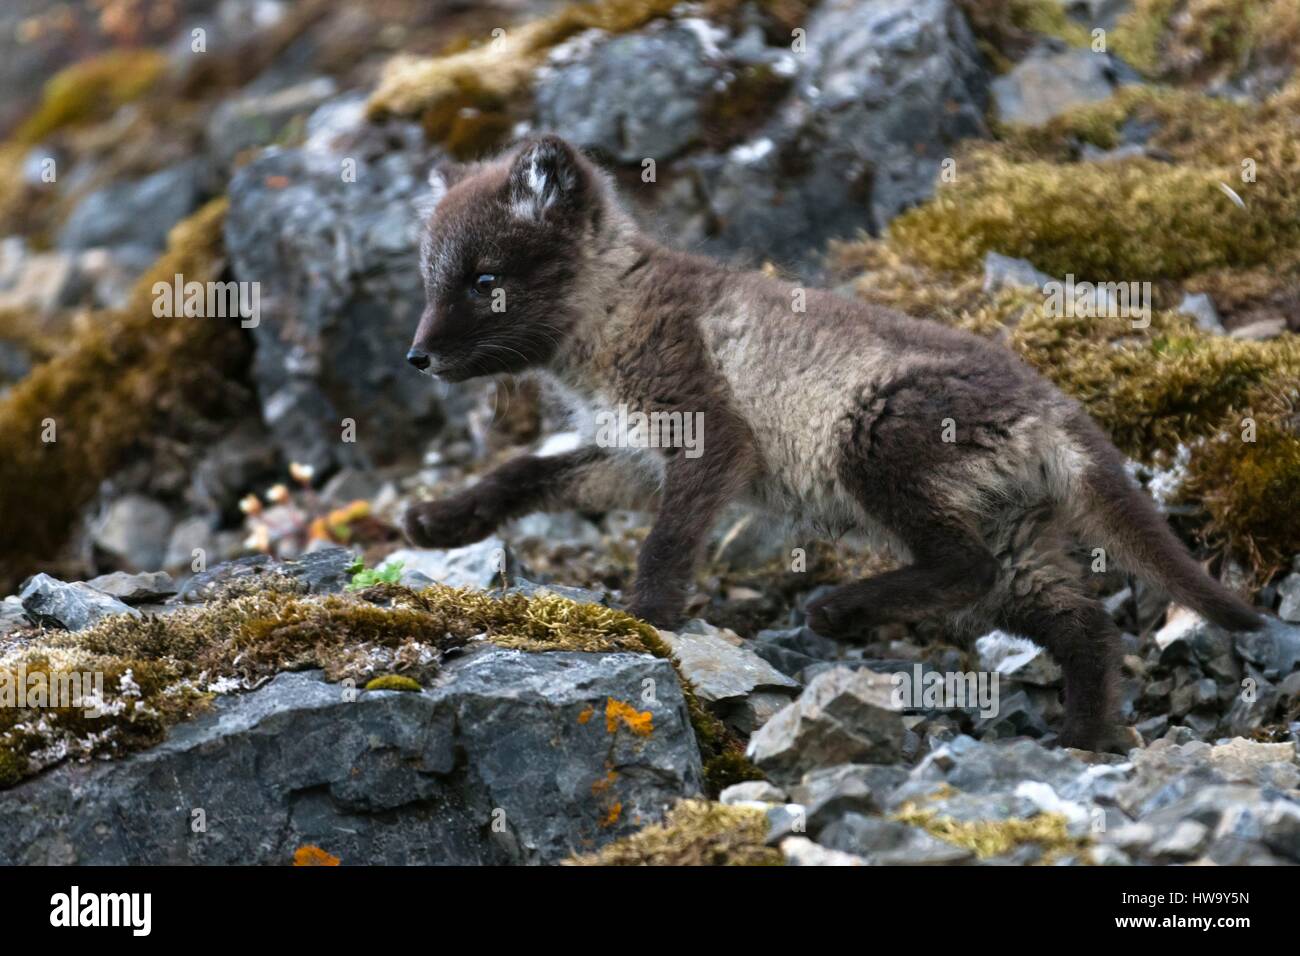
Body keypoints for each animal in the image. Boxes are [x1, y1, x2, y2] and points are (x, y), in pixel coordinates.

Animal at [402, 135, 1263, 751]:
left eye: (484, 281)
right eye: (429, 282)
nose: (416, 358)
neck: (613, 317)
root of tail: (1059, 406)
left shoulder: (709, 435)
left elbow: (666, 542)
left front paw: (647, 620)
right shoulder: (631, 454)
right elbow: (524, 472)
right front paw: (440, 522)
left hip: (873, 442)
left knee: (963, 567)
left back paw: (837, 611)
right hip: (1016, 543)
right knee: (1082, 625)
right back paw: (1082, 739)